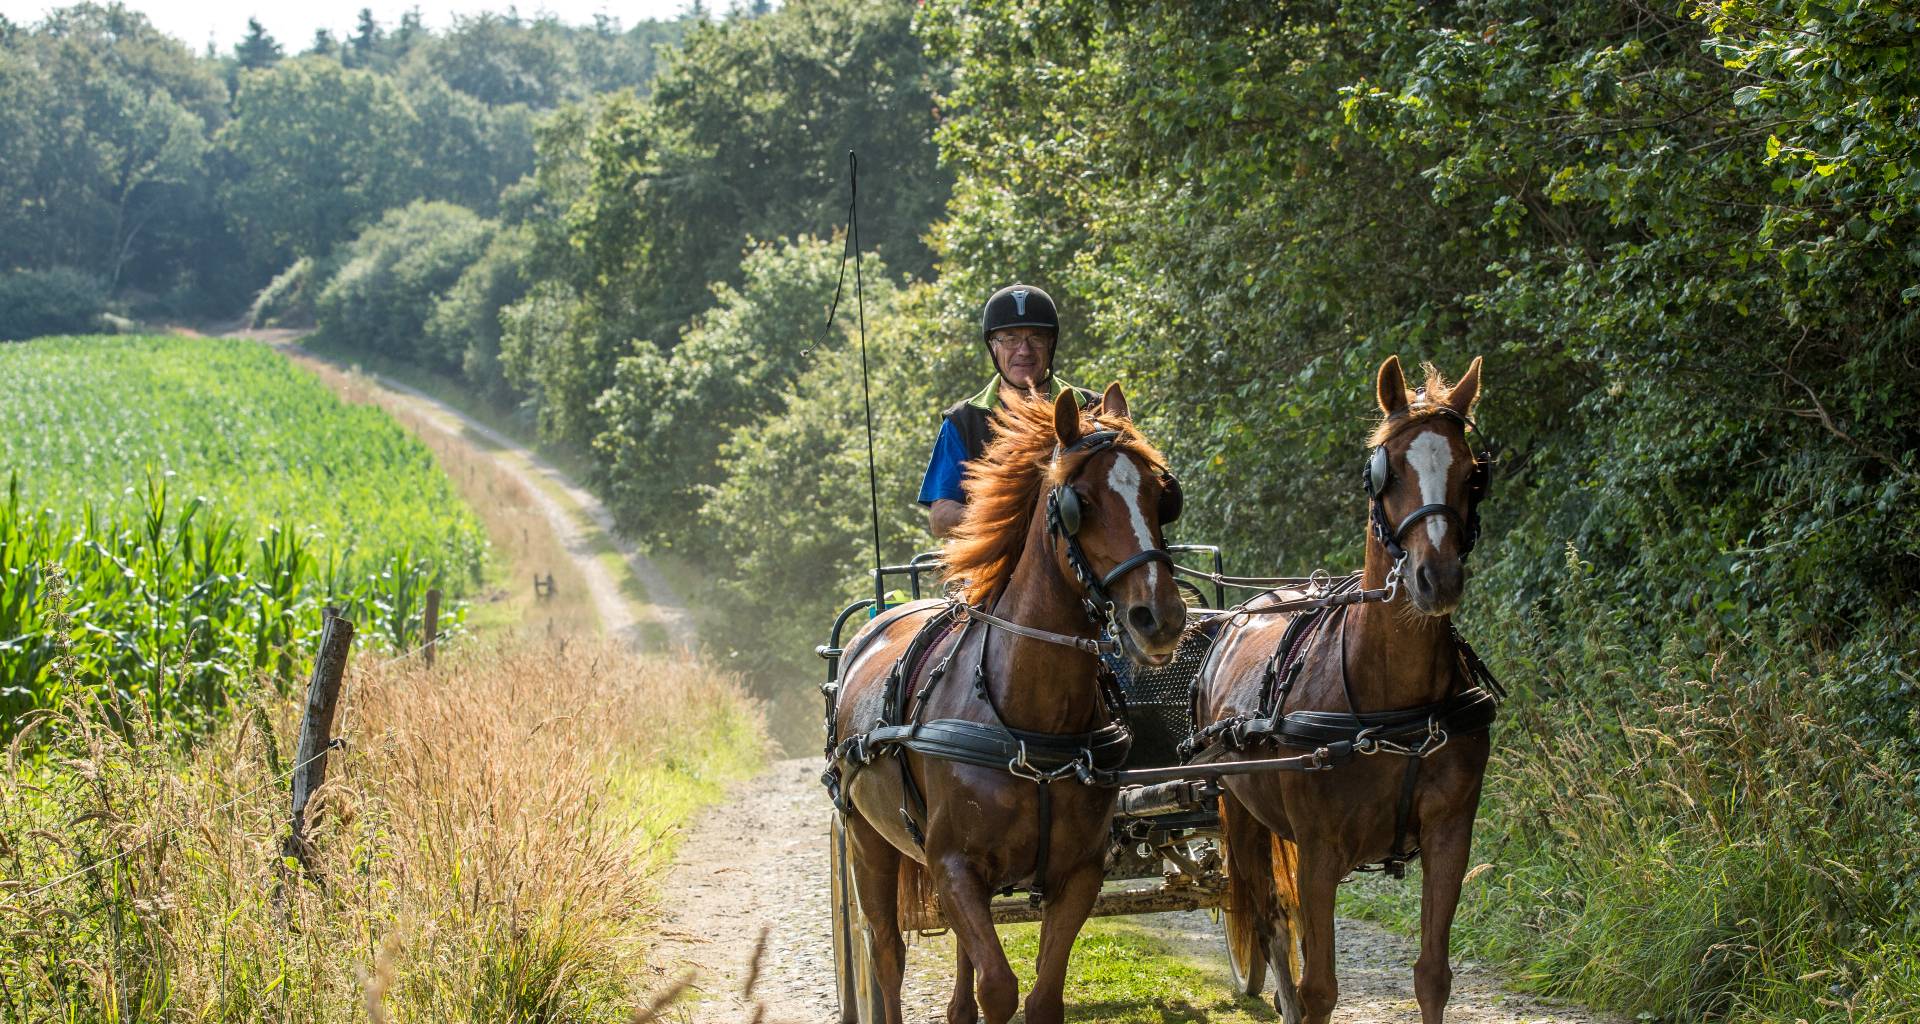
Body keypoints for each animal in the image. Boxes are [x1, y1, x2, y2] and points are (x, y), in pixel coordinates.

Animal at [825, 383, 1187, 1024]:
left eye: (1161, 496)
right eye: (1080, 503)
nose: (1159, 617)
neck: (1029, 720)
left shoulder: (1077, 872)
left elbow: (1041, 994)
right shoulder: (953, 865)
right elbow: (998, 985)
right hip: (868, 840)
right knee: (885, 949)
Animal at [1193, 354, 1497, 1024]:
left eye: (1472, 474)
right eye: (1385, 472)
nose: (1437, 578)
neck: (1396, 706)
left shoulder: (1450, 835)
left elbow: (1431, 977)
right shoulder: (1320, 848)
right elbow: (1320, 987)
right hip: (1241, 814)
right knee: (1270, 920)